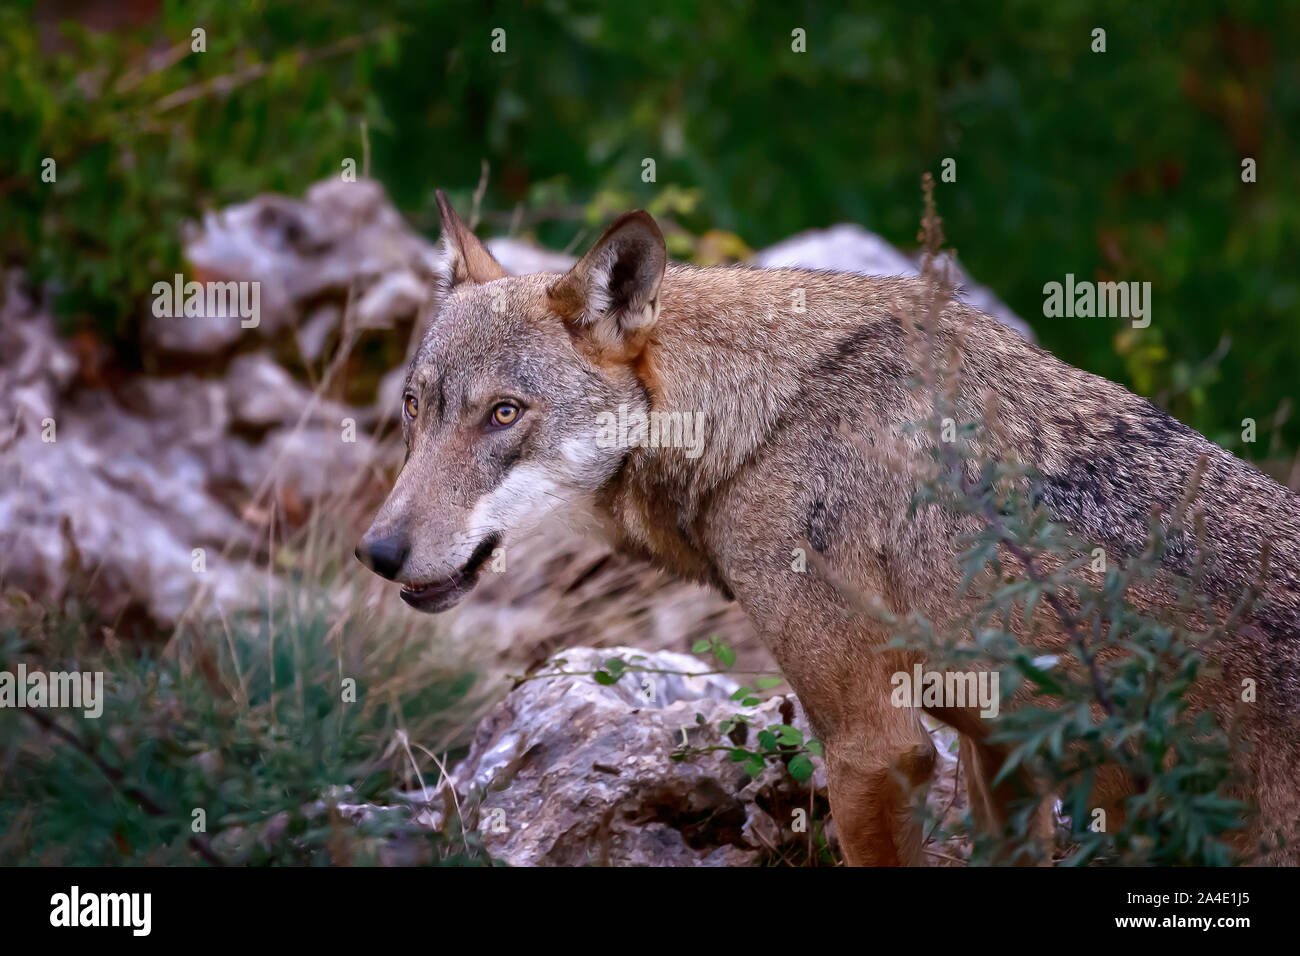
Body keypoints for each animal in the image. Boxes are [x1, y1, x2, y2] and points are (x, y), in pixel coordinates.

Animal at [357, 192, 1300, 865]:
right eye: (415, 406)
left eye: (504, 414)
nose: (377, 552)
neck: (760, 425)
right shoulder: (998, 750)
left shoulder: (875, 749)